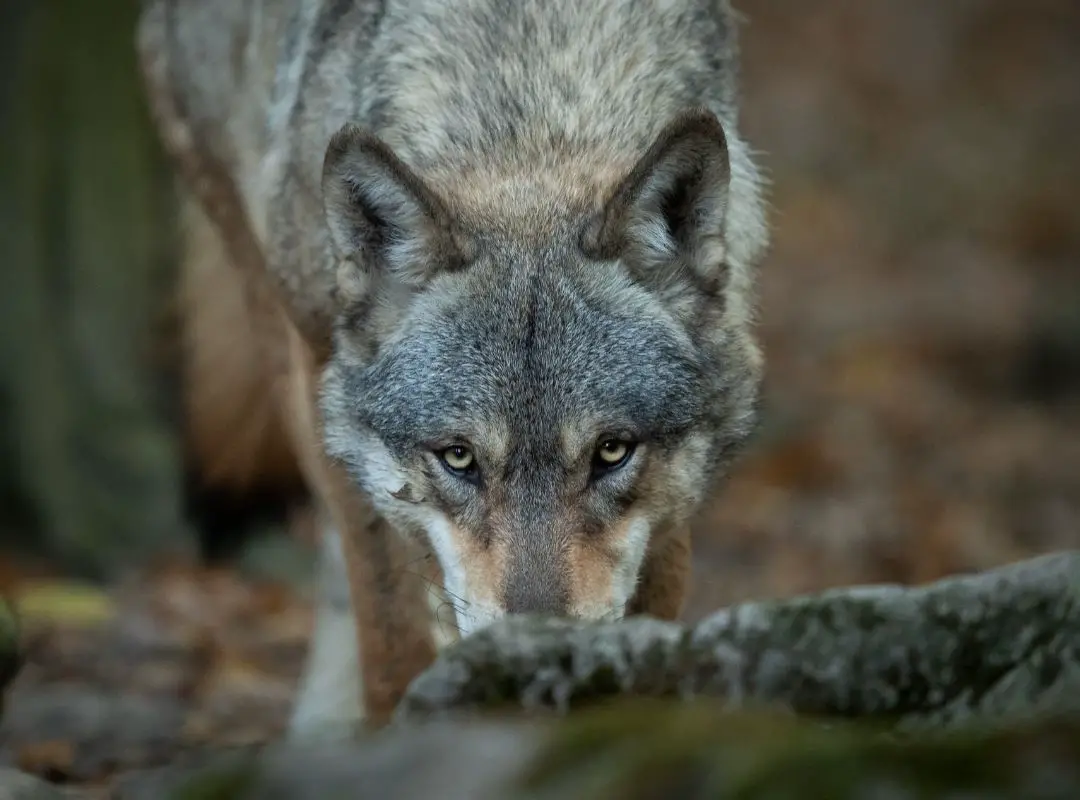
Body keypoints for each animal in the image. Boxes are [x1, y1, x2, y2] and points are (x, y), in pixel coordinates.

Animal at [136, 0, 769, 737]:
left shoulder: (665, 516)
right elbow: (391, 640)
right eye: (459, 458)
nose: (532, 655)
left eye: (612, 452)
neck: (529, 106)